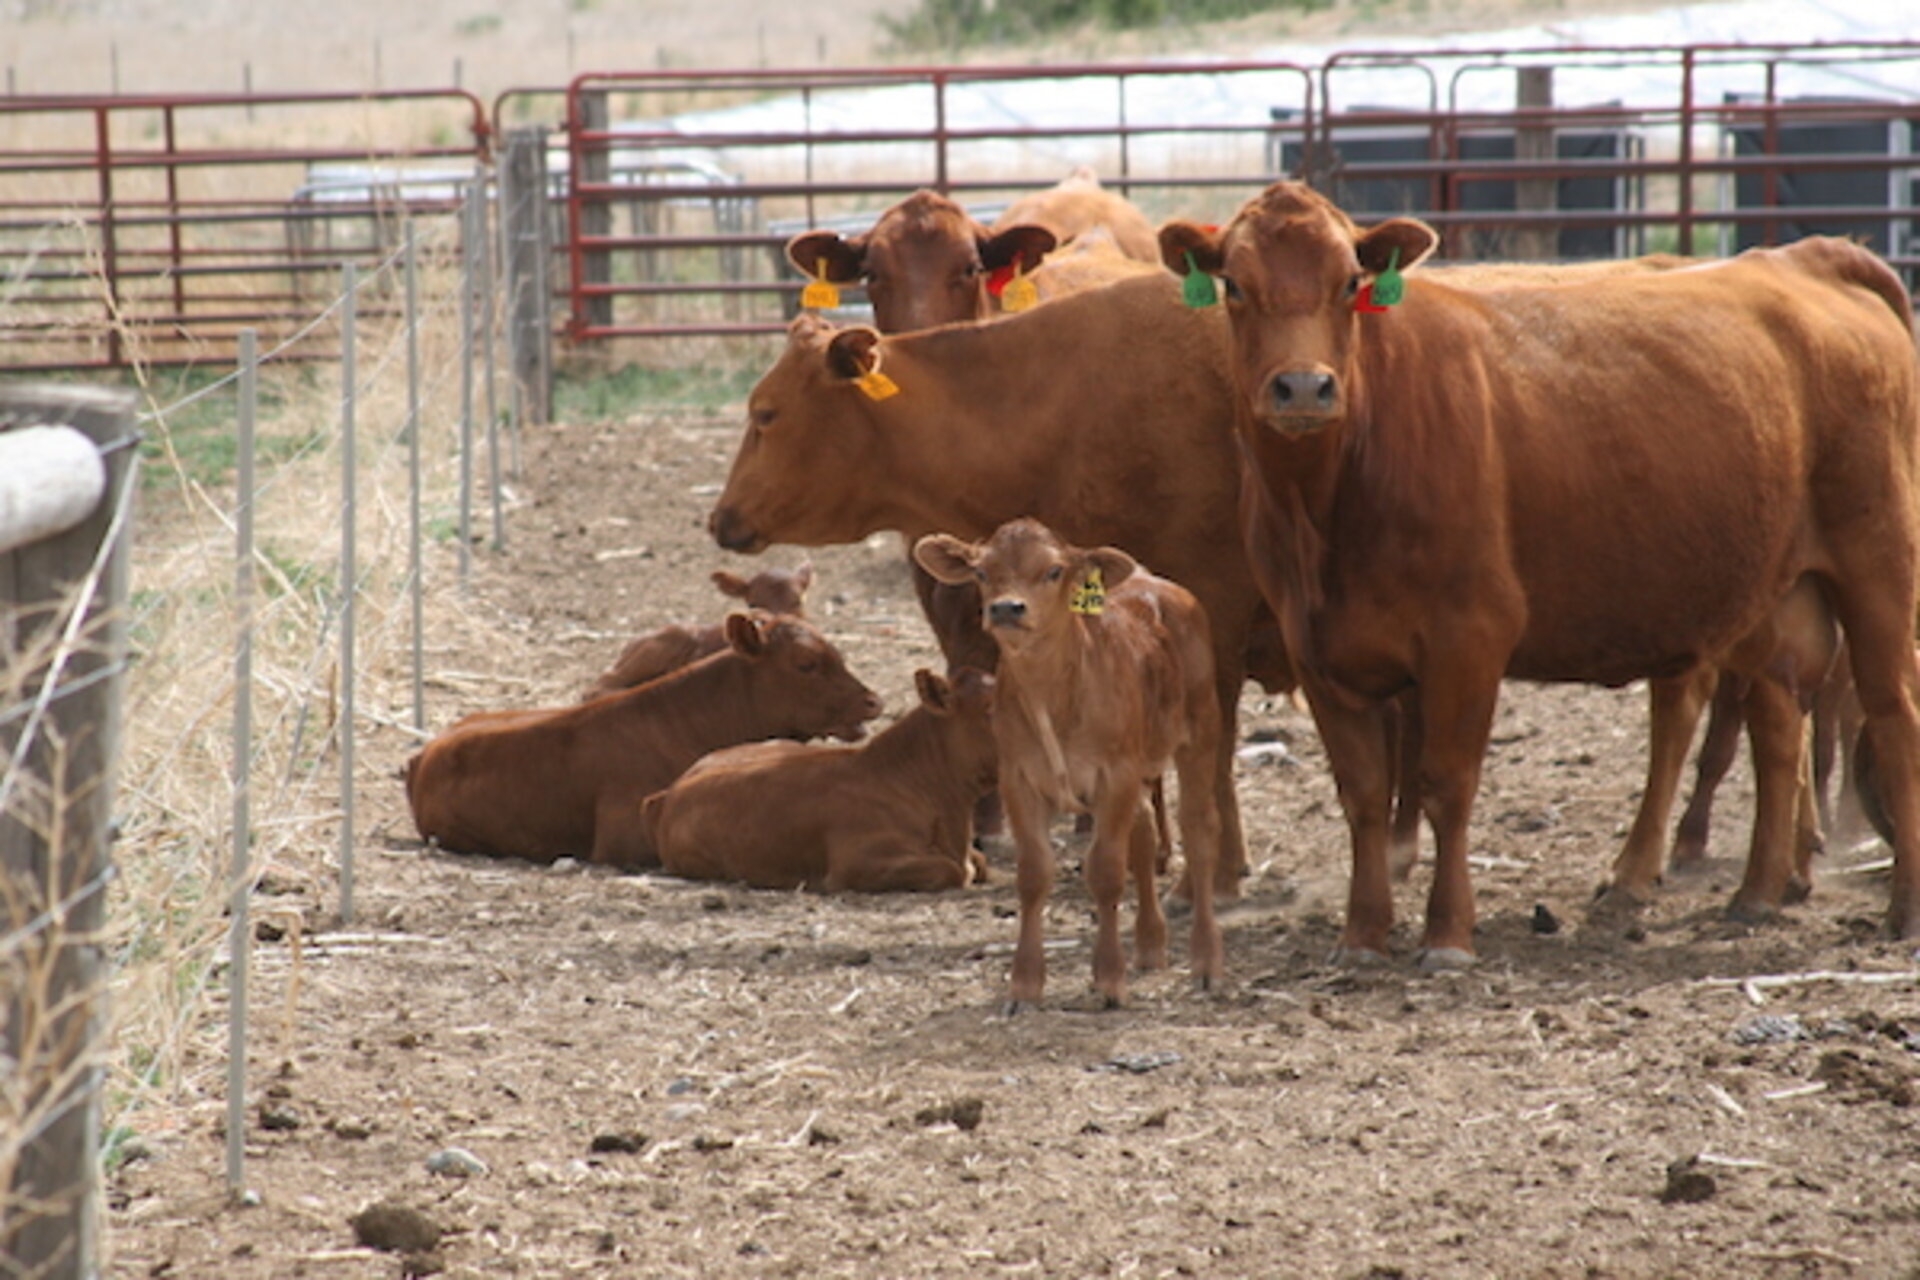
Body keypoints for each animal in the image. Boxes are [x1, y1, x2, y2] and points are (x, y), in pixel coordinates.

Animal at [915, 519, 1224, 1007]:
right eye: (981, 572)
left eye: (1054, 570)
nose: (1006, 608)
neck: (1054, 697)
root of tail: (1154, 583)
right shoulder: (1018, 779)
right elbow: (1033, 873)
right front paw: (1024, 984)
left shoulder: (1114, 776)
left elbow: (1107, 870)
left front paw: (1109, 979)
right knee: (1143, 829)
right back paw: (1150, 945)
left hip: (1201, 729)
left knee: (1199, 830)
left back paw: (1207, 962)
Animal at [1160, 180, 1920, 963]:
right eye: (1234, 286)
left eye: (1350, 283)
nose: (1305, 388)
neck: (1330, 502)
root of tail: (1806, 259)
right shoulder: (1319, 650)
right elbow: (1364, 795)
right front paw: (1363, 932)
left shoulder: (1469, 638)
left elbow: (1446, 784)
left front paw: (1448, 932)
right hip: (1776, 595)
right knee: (1777, 724)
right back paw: (1757, 893)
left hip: (1878, 562)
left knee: (1892, 711)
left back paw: (1902, 906)